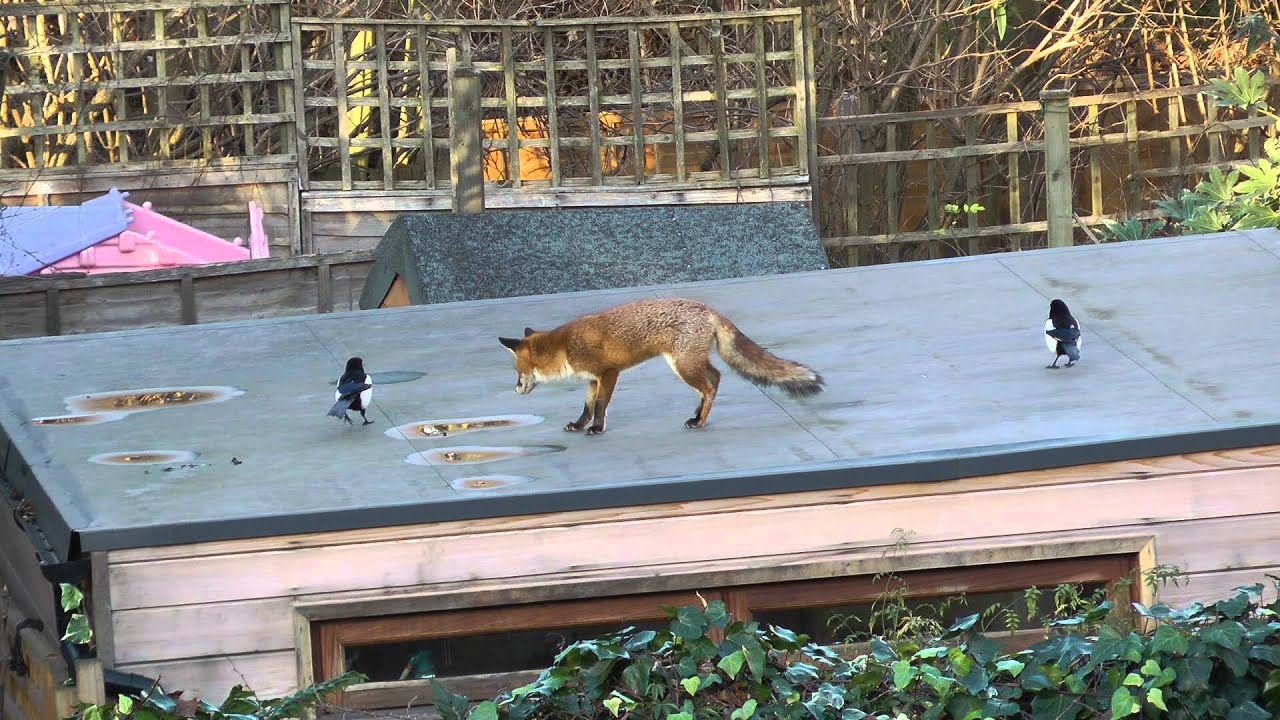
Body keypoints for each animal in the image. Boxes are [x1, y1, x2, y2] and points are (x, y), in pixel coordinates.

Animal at [498, 297, 824, 435]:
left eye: (518, 371)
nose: (515, 390)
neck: (565, 345)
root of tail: (707, 308)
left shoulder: (608, 374)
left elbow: (601, 406)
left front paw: (597, 428)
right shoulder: (592, 379)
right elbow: (587, 406)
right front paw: (579, 425)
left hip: (683, 366)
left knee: (709, 386)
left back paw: (699, 421)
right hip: (688, 362)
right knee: (716, 377)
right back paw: (697, 415)